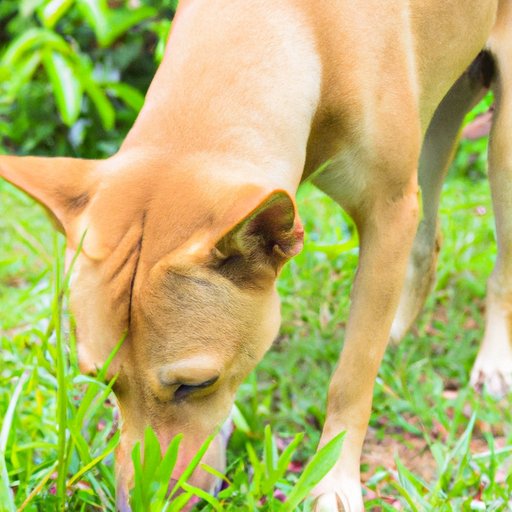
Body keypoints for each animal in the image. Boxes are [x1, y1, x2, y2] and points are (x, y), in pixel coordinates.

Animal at [1, 0, 512, 510]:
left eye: (196, 384)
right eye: (104, 383)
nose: (139, 503)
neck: (300, 26)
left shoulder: (389, 212)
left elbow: (352, 376)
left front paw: (334, 478)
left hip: (501, 146)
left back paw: (492, 360)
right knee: (427, 243)